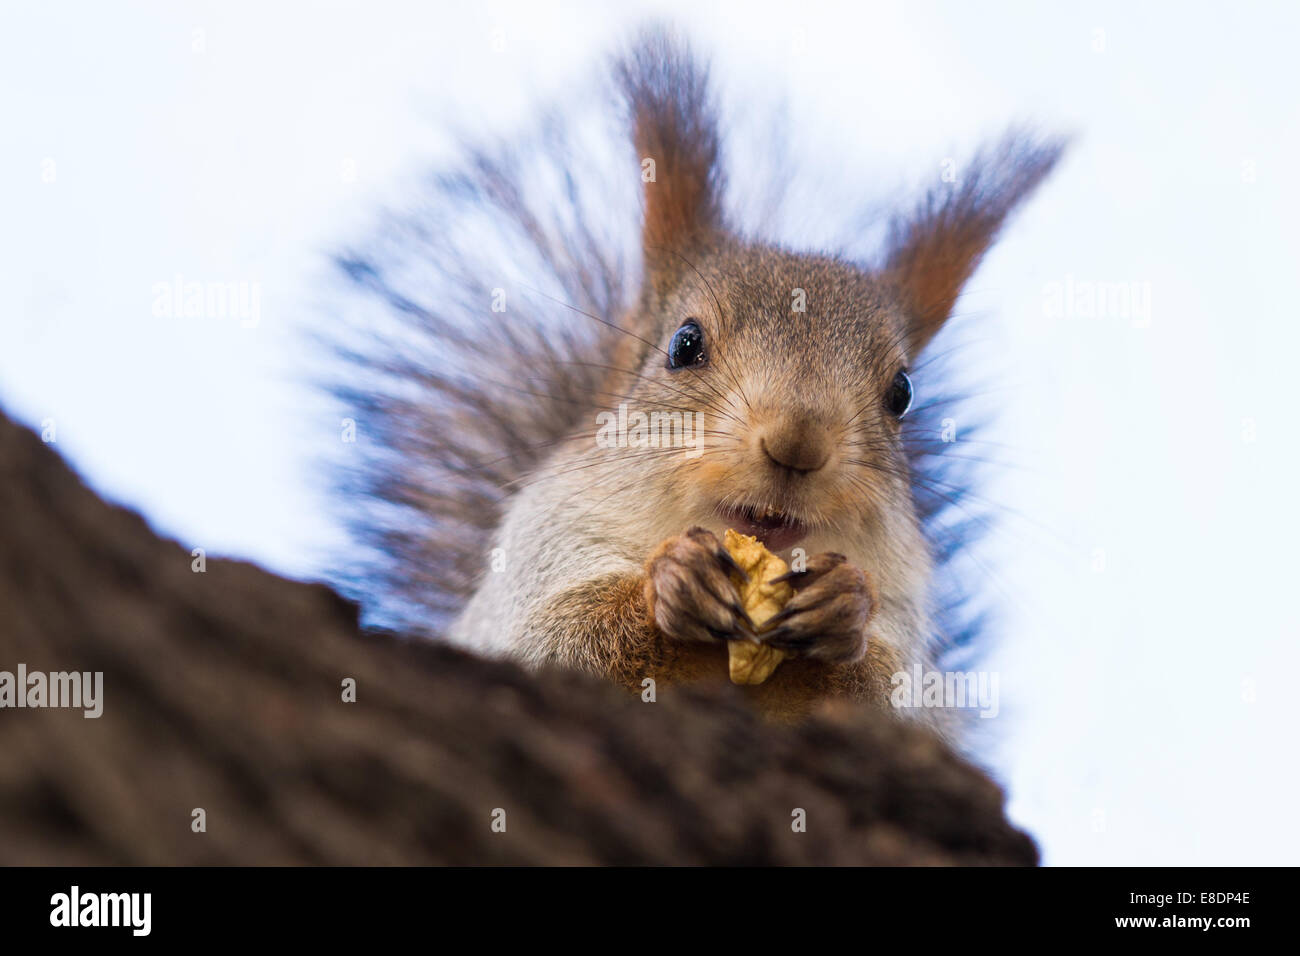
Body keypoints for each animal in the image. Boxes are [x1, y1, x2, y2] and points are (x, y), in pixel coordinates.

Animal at [333, 27, 1065, 737]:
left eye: (903, 393)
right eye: (683, 344)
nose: (797, 444)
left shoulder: (911, 653)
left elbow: (888, 692)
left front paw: (844, 606)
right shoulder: (538, 563)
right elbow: (557, 635)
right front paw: (671, 581)